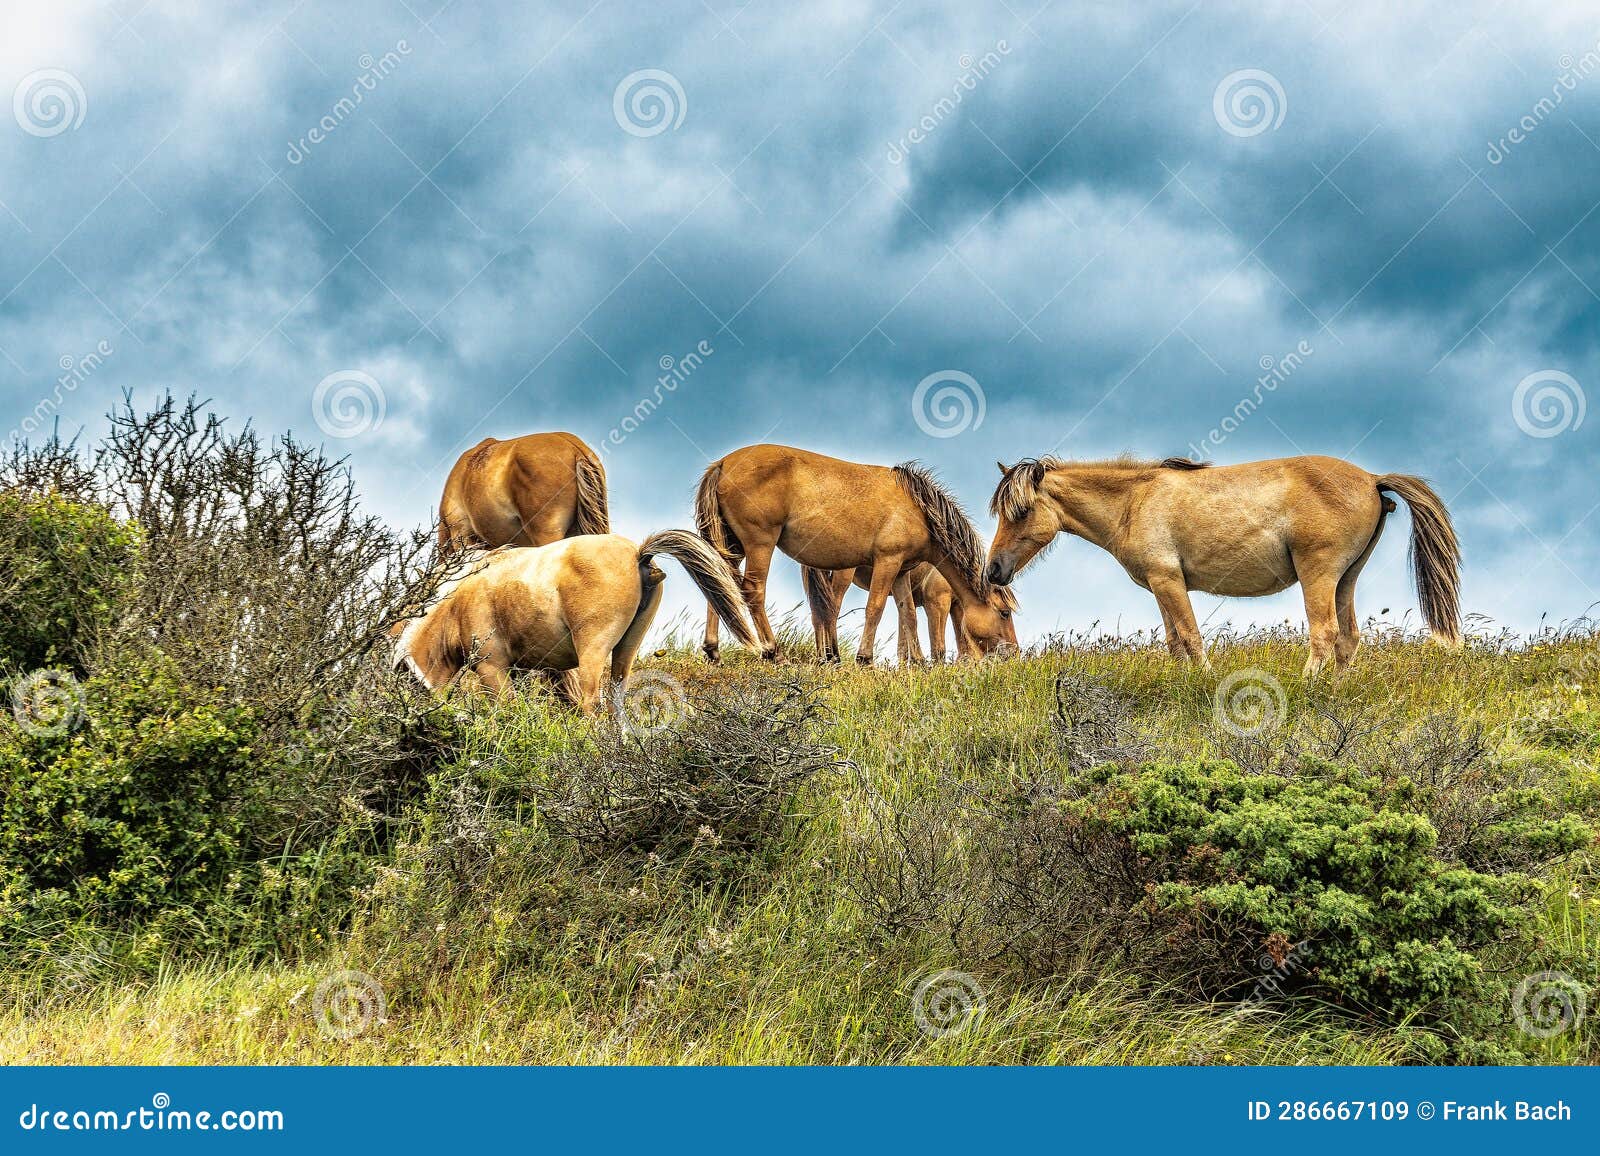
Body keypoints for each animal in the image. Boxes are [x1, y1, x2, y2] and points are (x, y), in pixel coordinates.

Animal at [393, 530, 754, 710]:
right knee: (616, 702)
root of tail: (639, 553)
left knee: (593, 702)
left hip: (592, 649)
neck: (459, 602)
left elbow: (504, 711)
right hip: (626, 651)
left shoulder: (492, 668)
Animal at [801, 563, 957, 665]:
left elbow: (905, 633)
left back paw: (822, 659)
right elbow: (939, 647)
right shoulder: (937, 600)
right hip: (842, 575)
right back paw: (833, 658)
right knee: (830, 611)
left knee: (817, 613)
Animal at [985, 454, 1461, 675]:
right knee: (1348, 639)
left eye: (1021, 511)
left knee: (1324, 634)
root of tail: (1371, 479)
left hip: (1319, 575)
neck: (1135, 501)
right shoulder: (1162, 586)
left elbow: (1192, 639)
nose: (993, 571)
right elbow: (1176, 644)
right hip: (1346, 579)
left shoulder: (1169, 581)